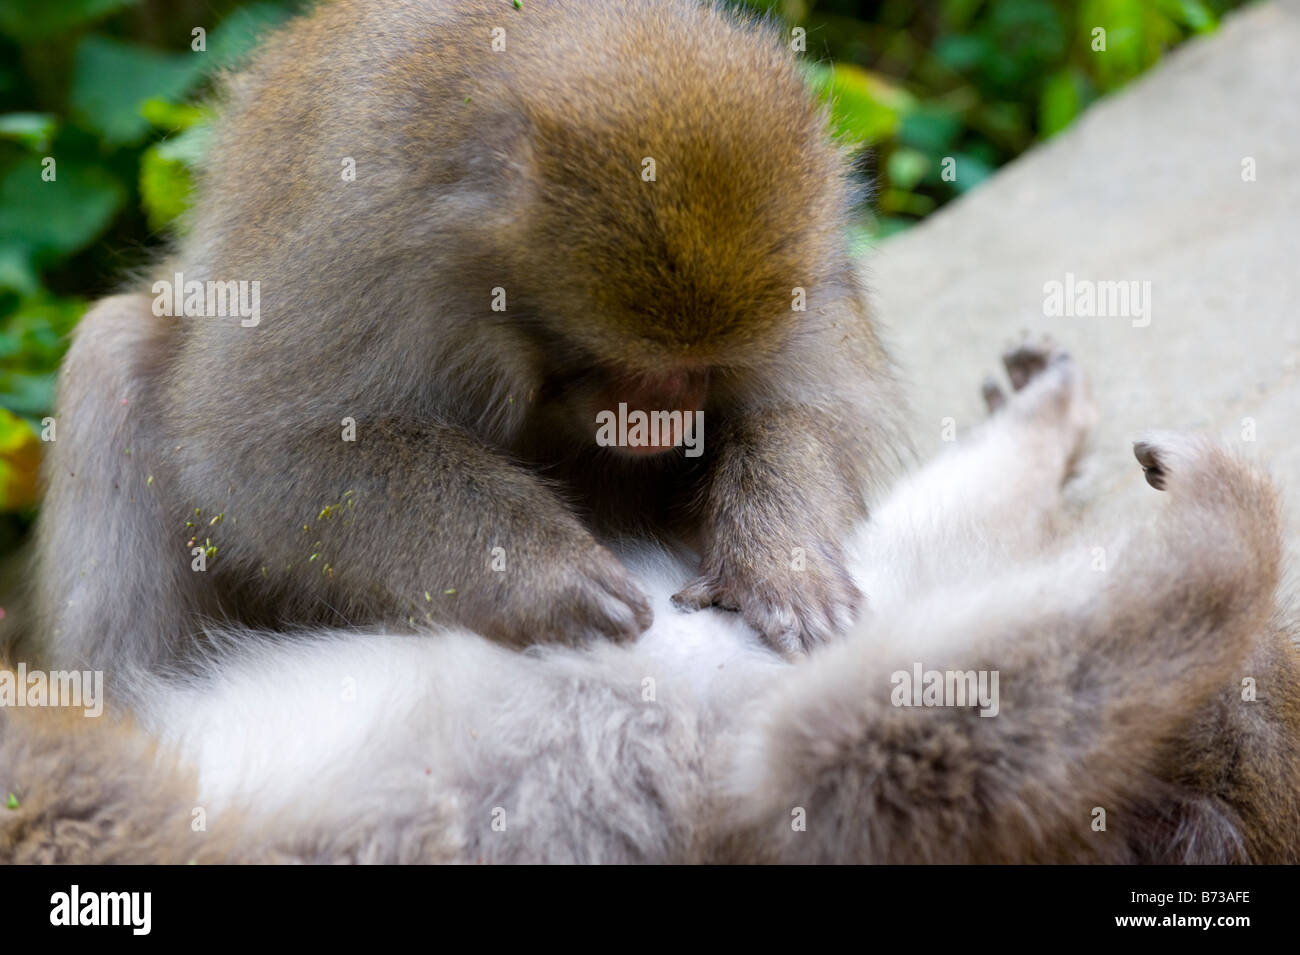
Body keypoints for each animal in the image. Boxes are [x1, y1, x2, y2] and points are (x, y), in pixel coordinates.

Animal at [7, 339, 1298, 863]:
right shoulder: (840, 608)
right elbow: (871, 551)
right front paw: (1050, 414)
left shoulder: (811, 802)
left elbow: (854, 745)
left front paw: (1228, 533)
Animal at [31, 0, 909, 679]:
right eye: (616, 365)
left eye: (706, 367)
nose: (662, 421)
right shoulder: (364, 238)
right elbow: (269, 449)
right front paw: (546, 578)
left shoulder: (812, 251)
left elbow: (812, 405)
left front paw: (781, 562)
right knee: (113, 352)